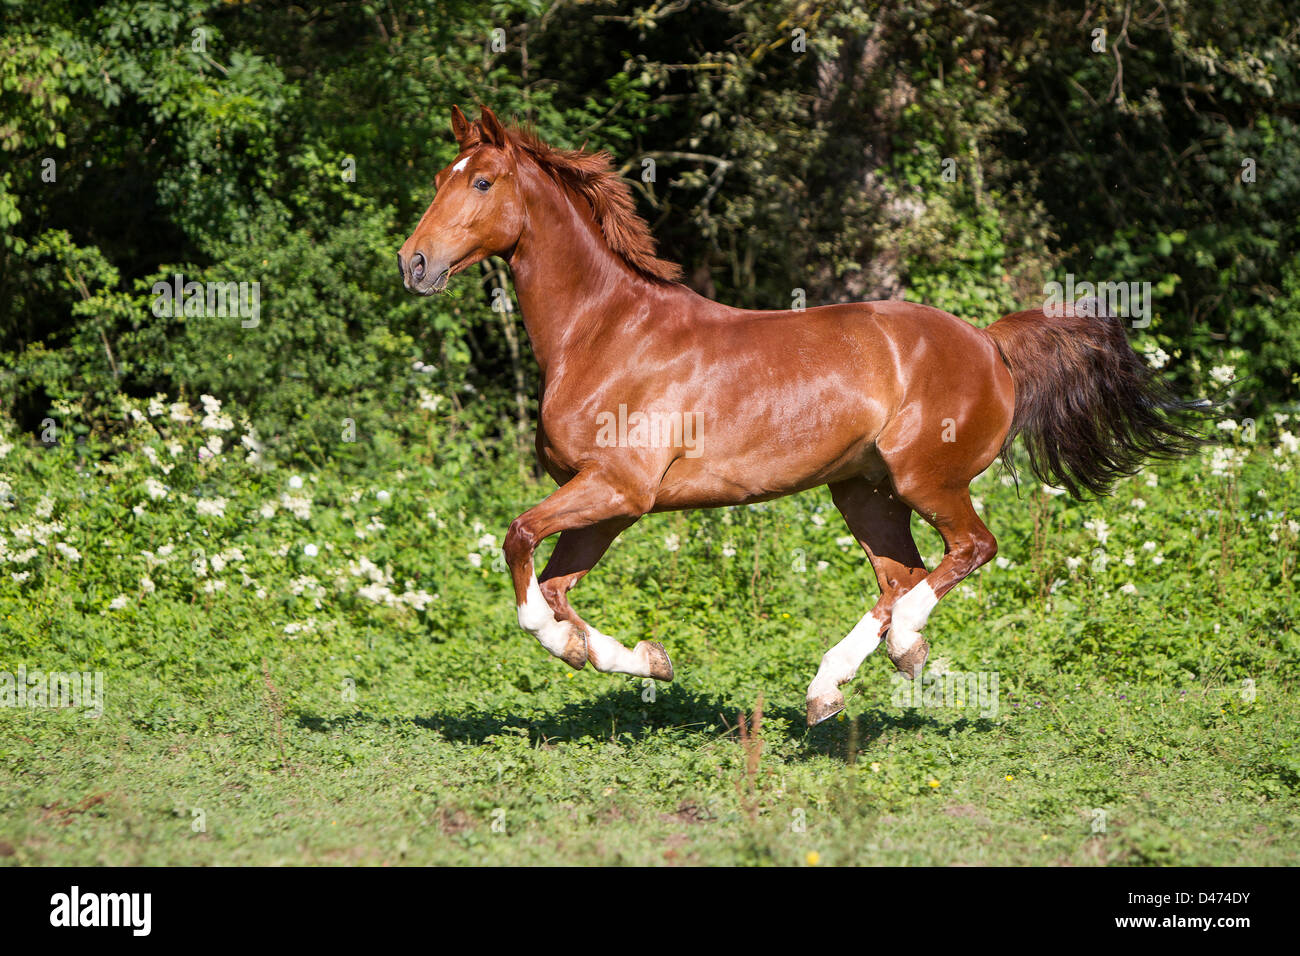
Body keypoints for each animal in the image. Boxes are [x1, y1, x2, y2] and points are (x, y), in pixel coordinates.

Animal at [398, 105, 1204, 727]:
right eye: (438, 177)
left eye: (481, 180)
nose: (413, 263)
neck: (603, 334)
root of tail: (988, 341)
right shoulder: (611, 503)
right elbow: (560, 590)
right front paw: (646, 660)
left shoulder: (619, 488)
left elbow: (521, 550)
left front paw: (583, 644)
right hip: (863, 492)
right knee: (900, 578)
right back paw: (833, 688)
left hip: (927, 481)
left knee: (968, 551)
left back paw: (897, 649)